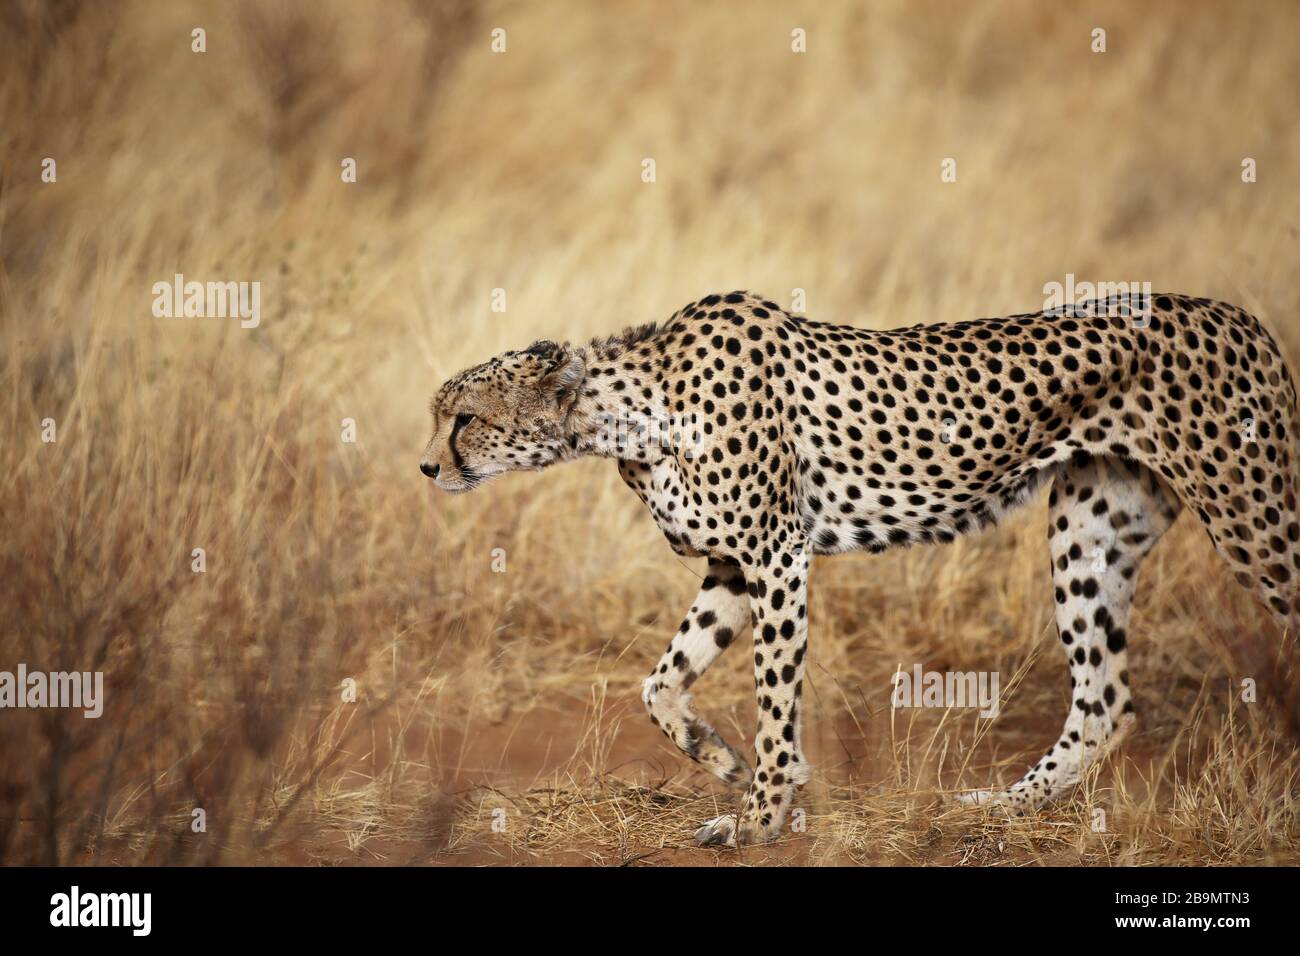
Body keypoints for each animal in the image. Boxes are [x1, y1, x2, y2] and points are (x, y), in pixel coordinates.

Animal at [421, 290, 1299, 847]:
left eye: (464, 418)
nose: (427, 467)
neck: (631, 417)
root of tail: (1239, 316)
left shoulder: (777, 557)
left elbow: (775, 699)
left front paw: (762, 816)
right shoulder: (732, 567)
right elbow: (659, 683)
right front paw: (717, 755)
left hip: (1254, 520)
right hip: (1090, 529)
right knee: (1106, 699)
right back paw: (1001, 807)